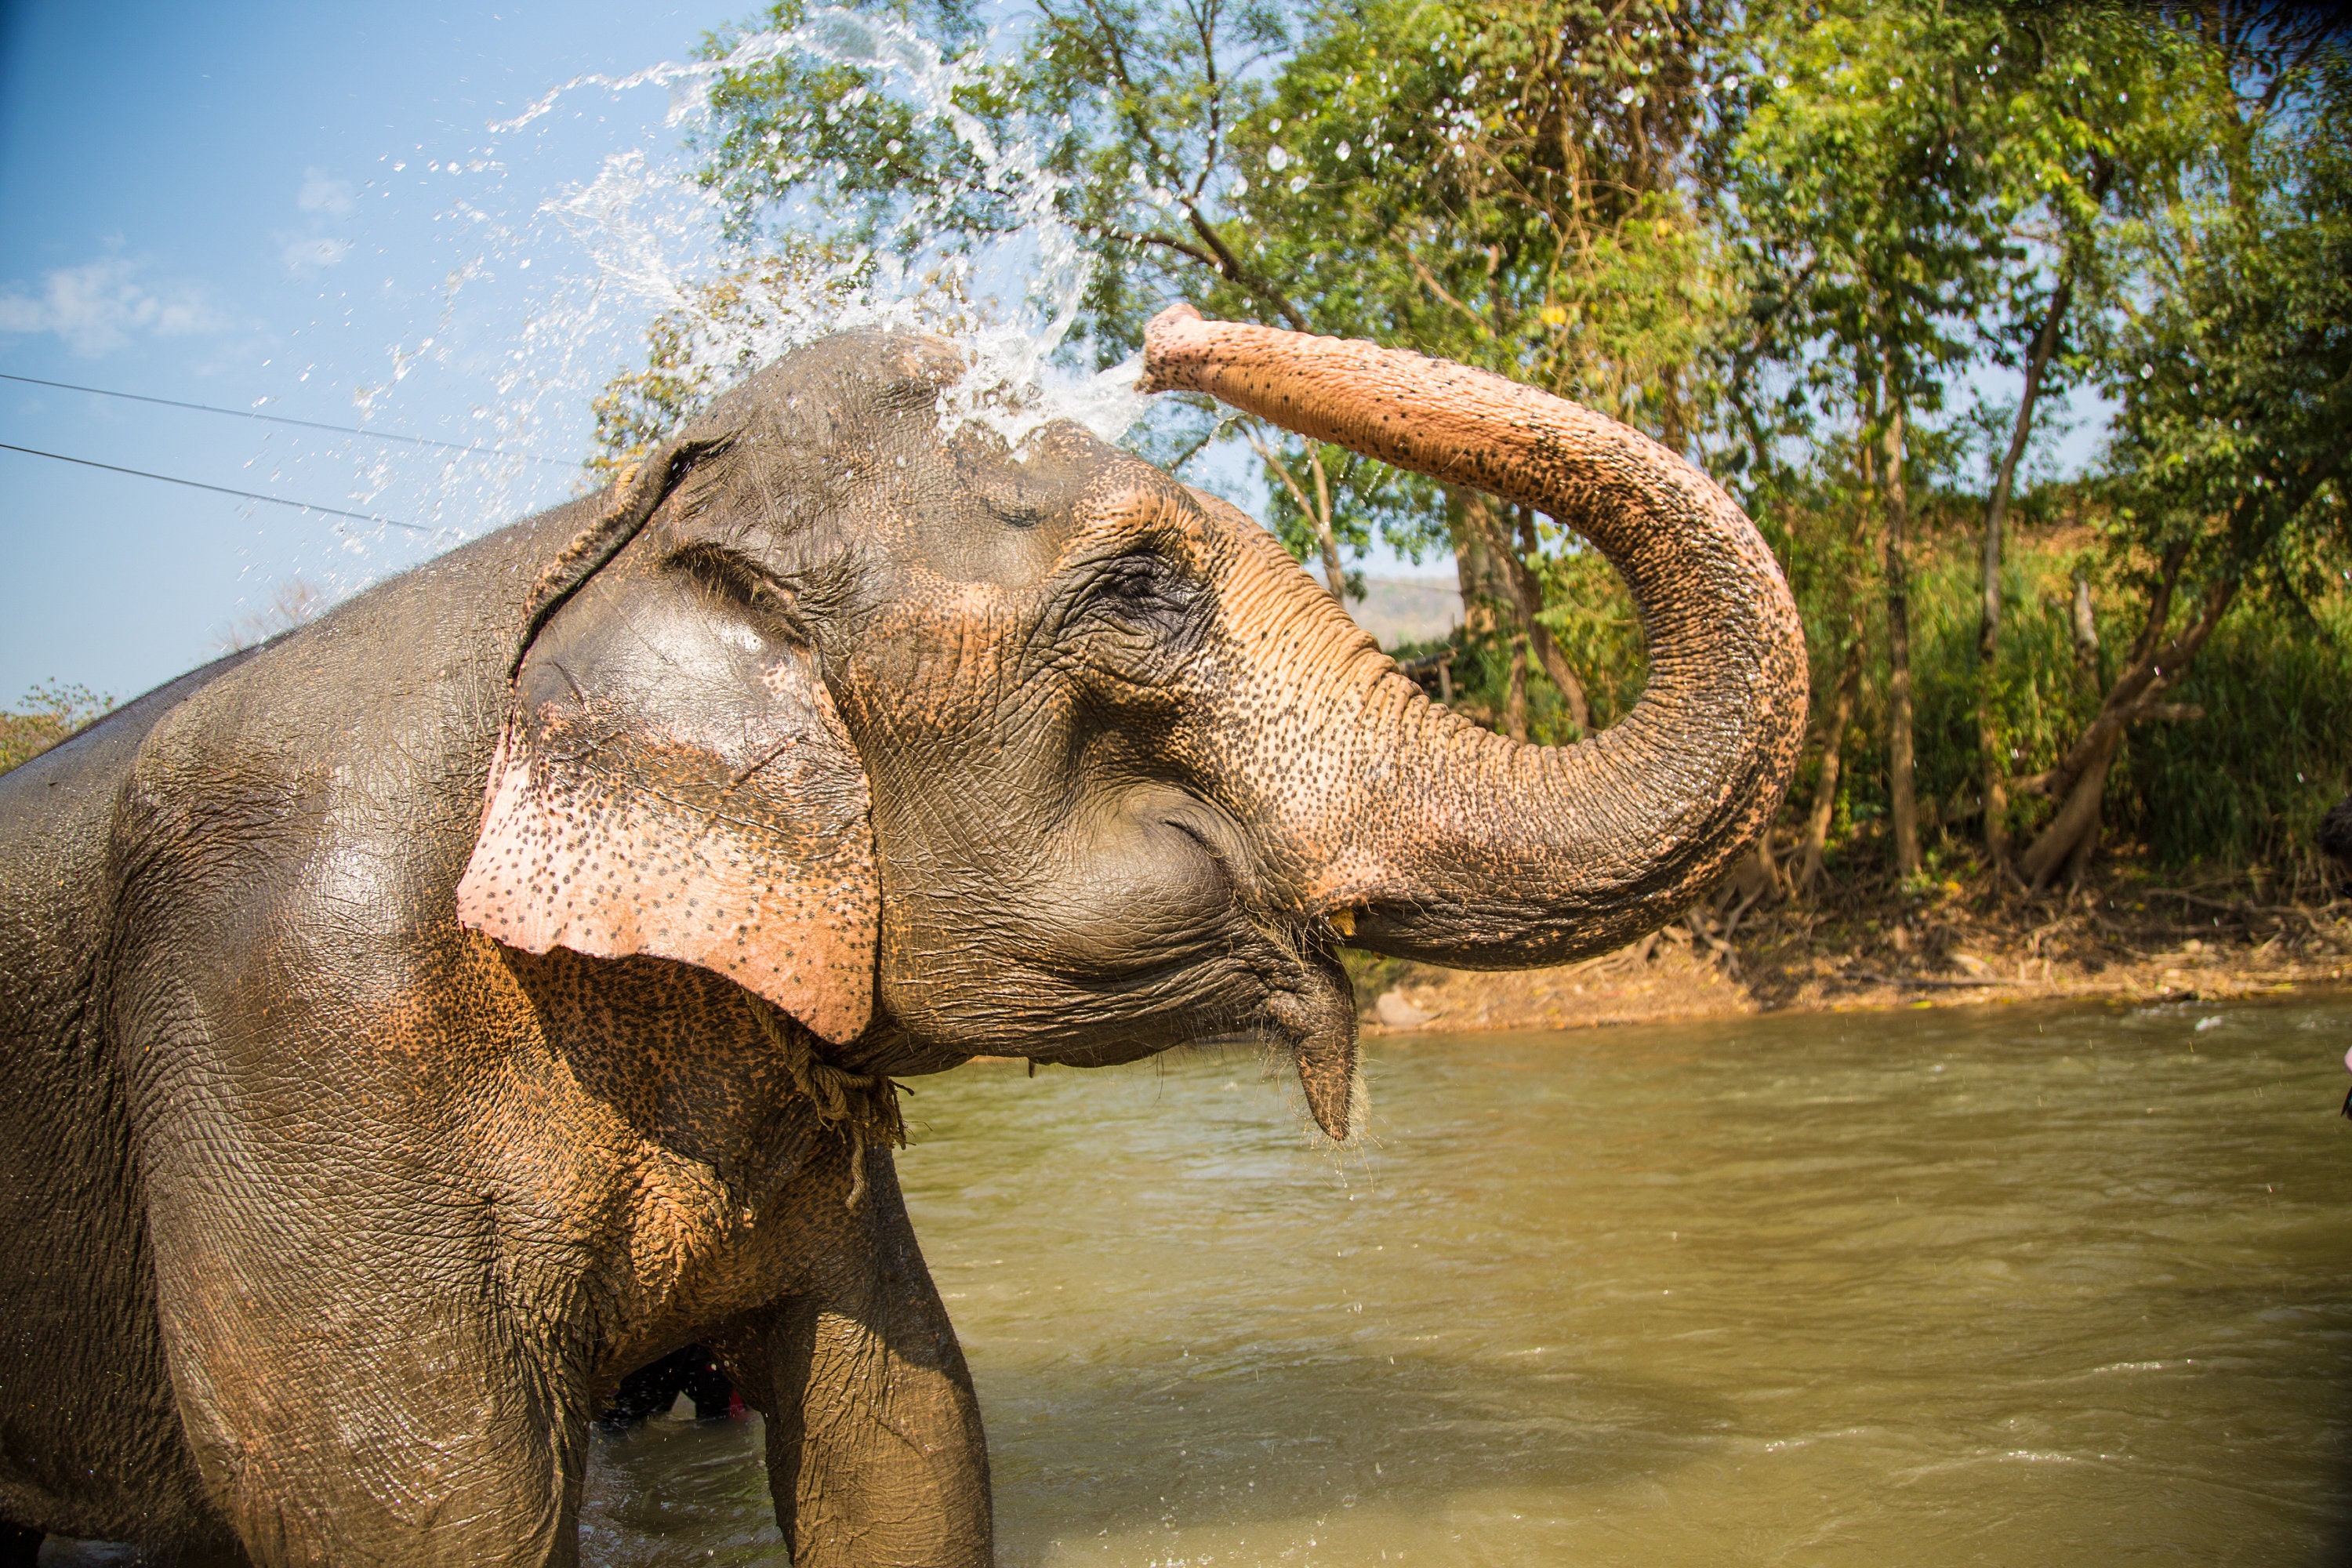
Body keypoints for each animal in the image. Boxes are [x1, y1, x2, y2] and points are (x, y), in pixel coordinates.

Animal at [0, 307, 1806, 1566]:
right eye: (1140, 591)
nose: (1170, 328)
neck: (607, 535)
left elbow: (904, 1428)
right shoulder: (299, 1020)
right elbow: (412, 1505)